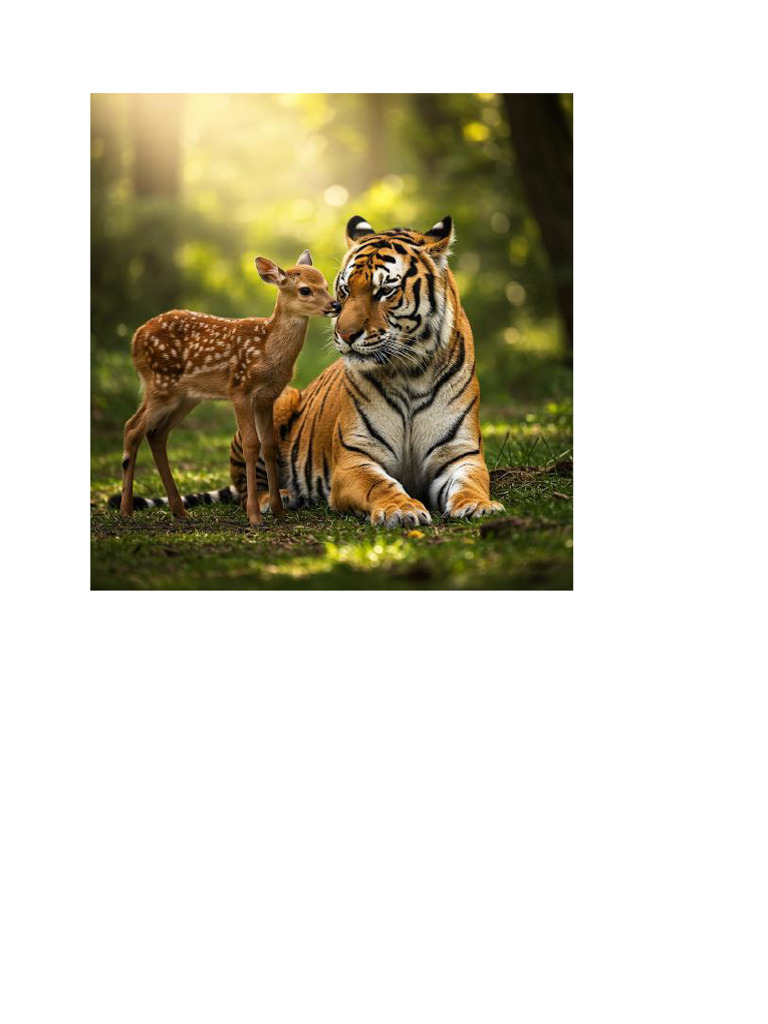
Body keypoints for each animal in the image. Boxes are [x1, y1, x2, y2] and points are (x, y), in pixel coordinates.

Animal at [119, 250, 339, 528]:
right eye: (305, 290)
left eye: (325, 284)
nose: (335, 305)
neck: (267, 351)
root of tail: (135, 338)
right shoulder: (240, 390)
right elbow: (250, 446)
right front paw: (254, 516)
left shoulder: (267, 397)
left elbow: (269, 445)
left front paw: (279, 511)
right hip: (160, 385)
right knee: (132, 428)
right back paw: (126, 510)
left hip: (185, 397)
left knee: (157, 434)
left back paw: (180, 511)